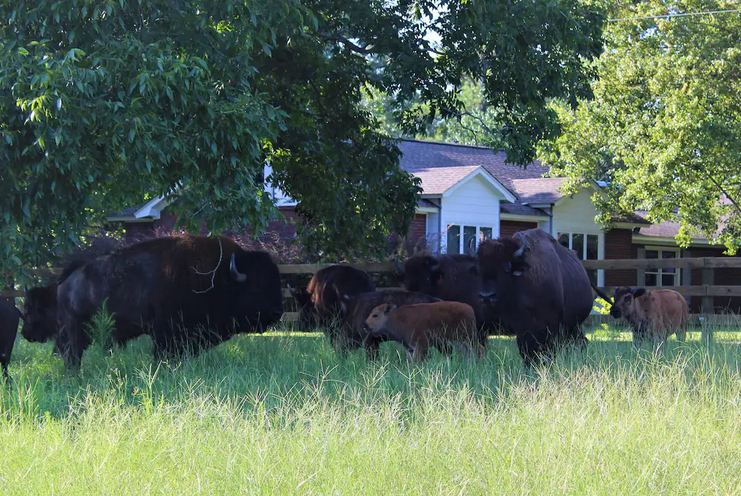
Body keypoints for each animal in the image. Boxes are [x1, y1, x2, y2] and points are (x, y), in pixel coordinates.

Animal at [53, 234, 283, 369]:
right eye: (256, 286)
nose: (277, 312)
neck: (220, 276)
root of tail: (65, 283)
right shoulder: (166, 332)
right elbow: (163, 353)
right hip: (77, 331)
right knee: (72, 355)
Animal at [477, 228, 594, 366]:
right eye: (479, 270)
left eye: (506, 269)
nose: (486, 296)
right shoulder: (522, 328)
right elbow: (526, 350)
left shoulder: (551, 327)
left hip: (573, 325)